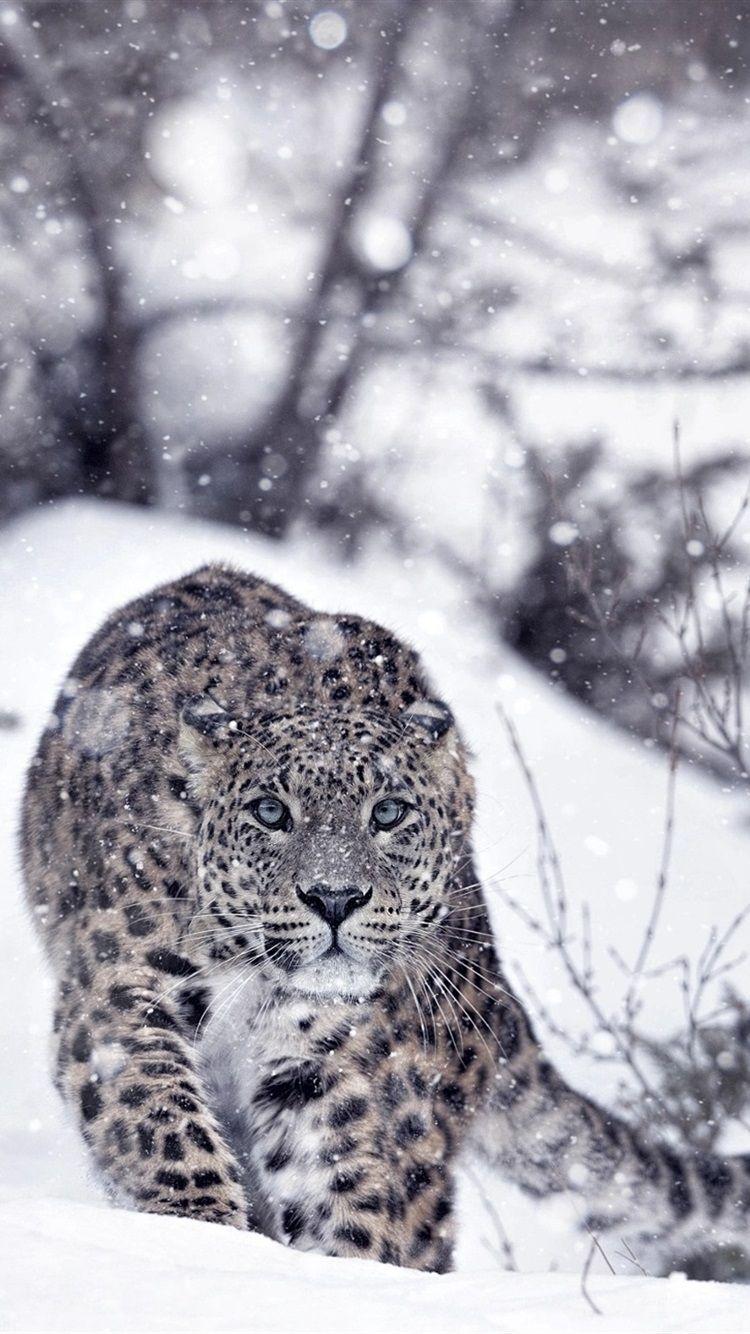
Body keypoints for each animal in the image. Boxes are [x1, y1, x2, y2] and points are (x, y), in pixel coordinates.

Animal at [20, 563, 750, 1274]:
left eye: (389, 812)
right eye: (270, 812)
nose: (335, 897)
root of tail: (492, 987)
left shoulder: (324, 1060)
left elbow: (344, 1183)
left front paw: (336, 1270)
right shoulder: (121, 989)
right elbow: (157, 1113)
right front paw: (199, 1226)